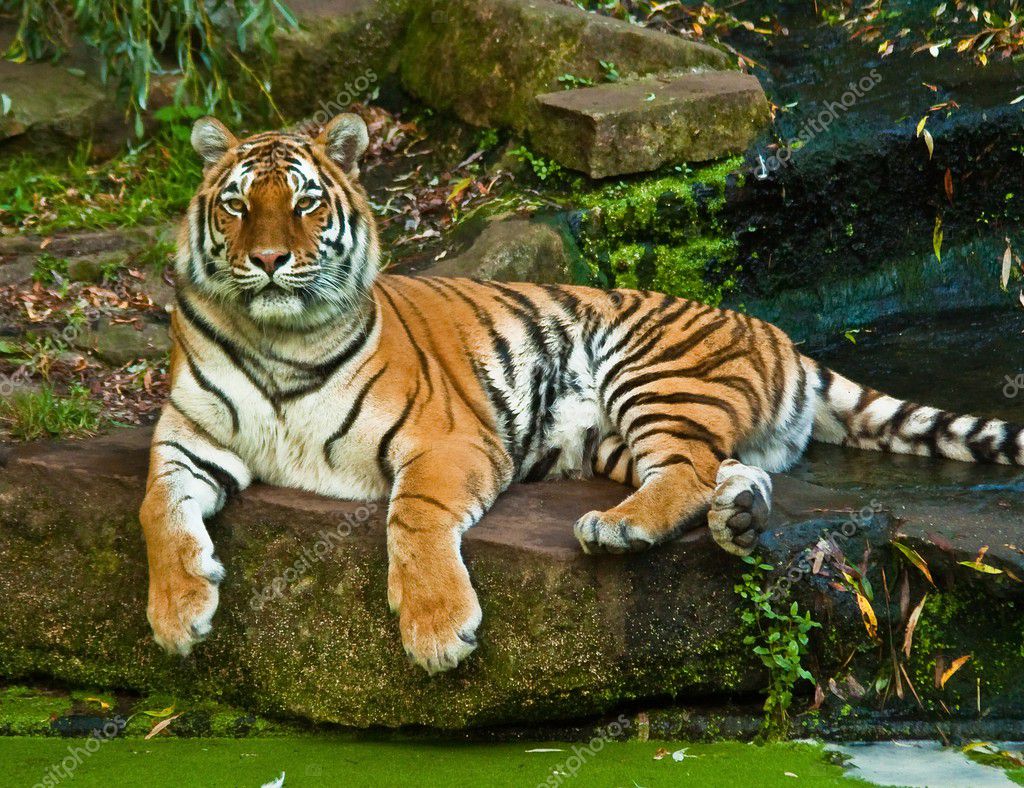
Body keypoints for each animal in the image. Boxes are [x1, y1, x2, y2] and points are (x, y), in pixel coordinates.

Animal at [141, 113, 1024, 675]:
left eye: (305, 203)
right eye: (236, 204)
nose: (267, 261)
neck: (279, 341)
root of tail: (780, 335)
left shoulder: (449, 438)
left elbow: (413, 517)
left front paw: (436, 631)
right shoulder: (186, 437)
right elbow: (157, 510)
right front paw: (178, 615)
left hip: (651, 370)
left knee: (687, 469)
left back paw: (622, 528)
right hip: (610, 438)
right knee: (722, 470)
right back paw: (739, 518)